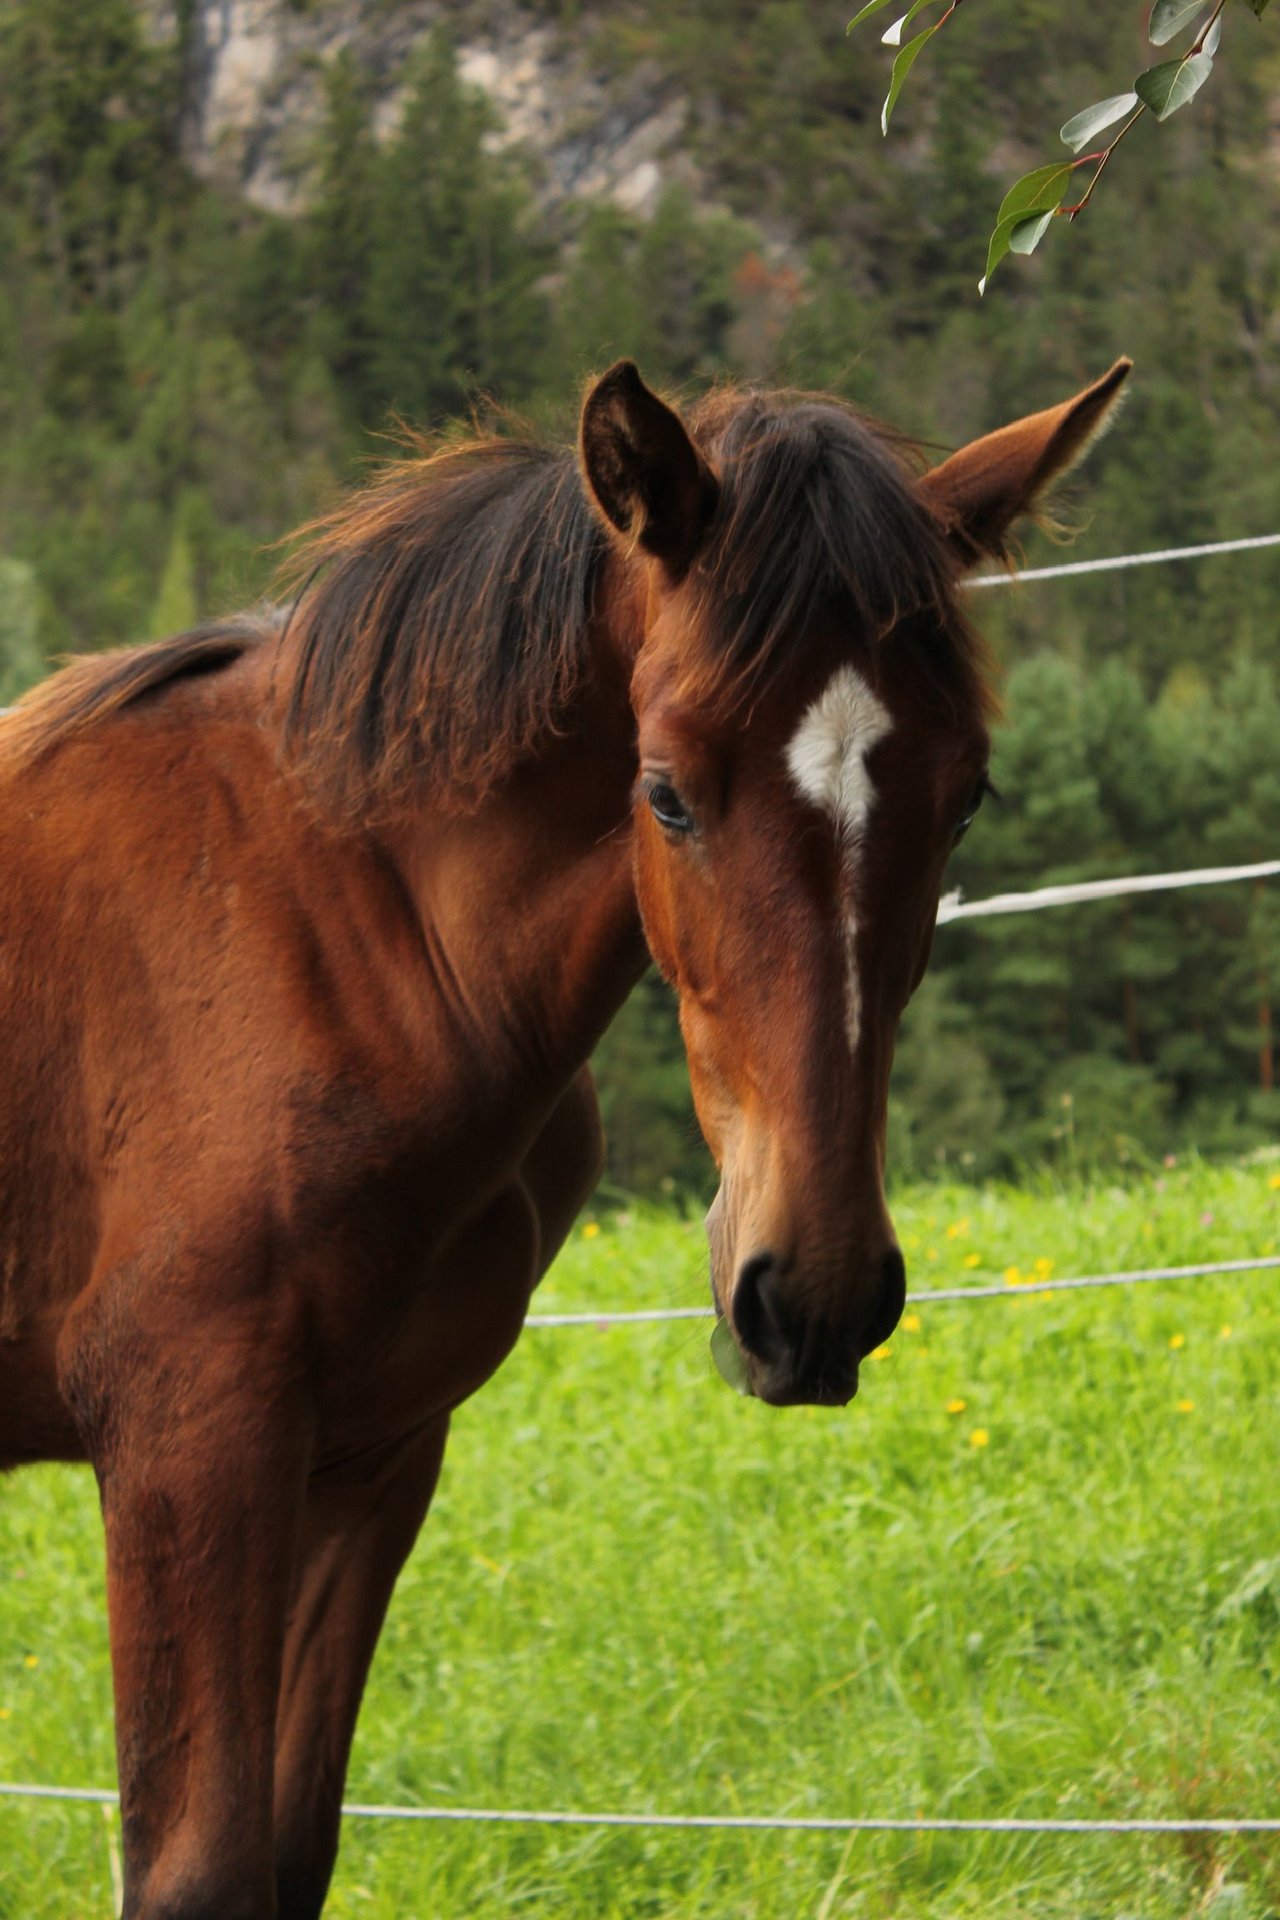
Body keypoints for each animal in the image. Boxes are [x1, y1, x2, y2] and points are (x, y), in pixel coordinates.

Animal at [0, 356, 1128, 1918]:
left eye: (967, 797)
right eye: (664, 790)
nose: (814, 1296)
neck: (335, 930)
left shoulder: (367, 1460)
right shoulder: (188, 1439)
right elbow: (197, 1869)